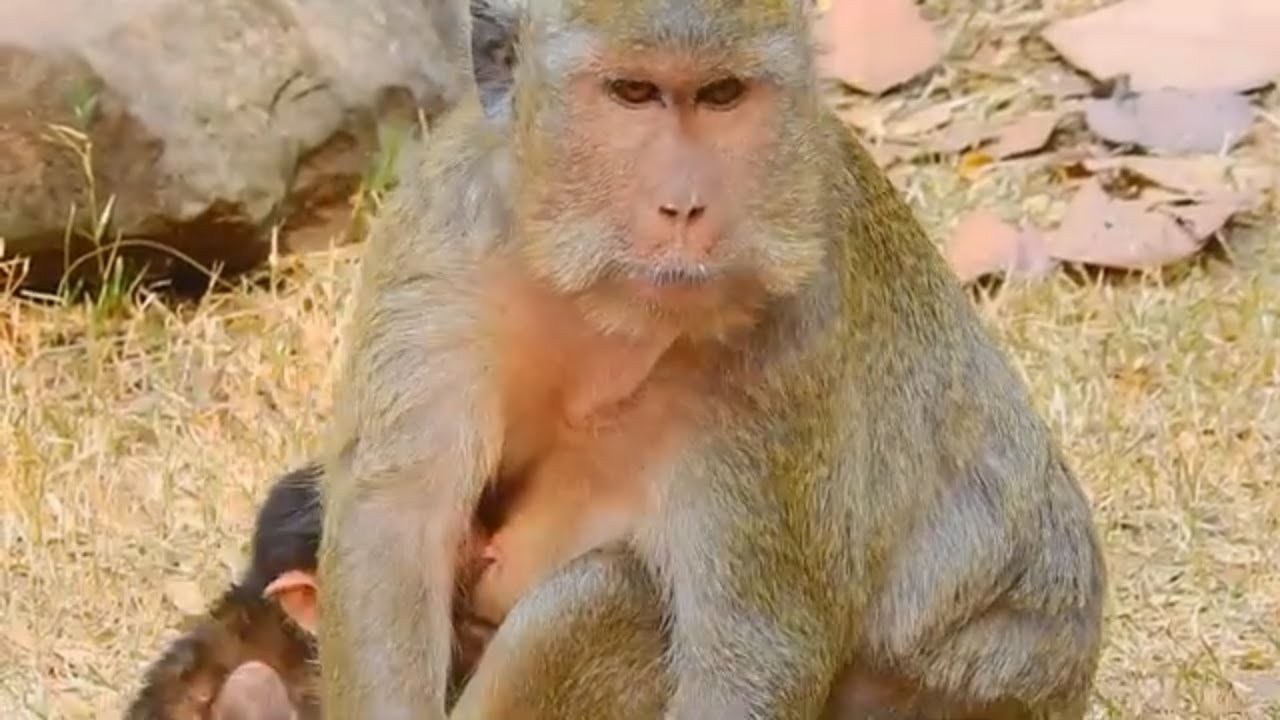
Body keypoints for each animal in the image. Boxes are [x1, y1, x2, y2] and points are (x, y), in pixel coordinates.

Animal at [317, 0, 1106, 718]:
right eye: (633, 93)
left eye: (722, 94)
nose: (685, 207)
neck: (604, 309)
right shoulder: (441, 258)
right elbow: (394, 524)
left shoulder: (789, 342)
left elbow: (754, 645)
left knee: (611, 594)